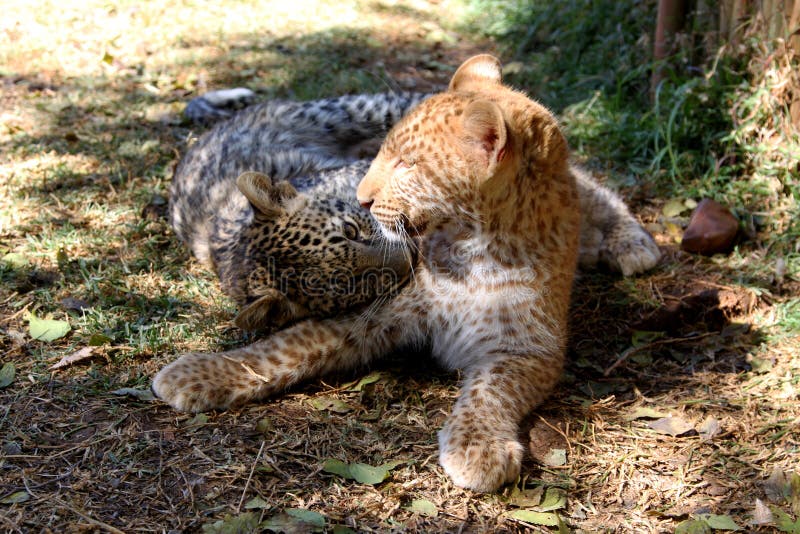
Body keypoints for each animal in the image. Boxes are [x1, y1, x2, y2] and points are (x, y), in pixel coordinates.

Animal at [153, 54, 618, 492]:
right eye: (354, 284)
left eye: (408, 165)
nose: (364, 199)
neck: (480, 249)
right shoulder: (376, 315)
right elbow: (279, 349)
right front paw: (194, 374)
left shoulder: (530, 348)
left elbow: (492, 390)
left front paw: (477, 450)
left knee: (587, 181)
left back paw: (625, 242)